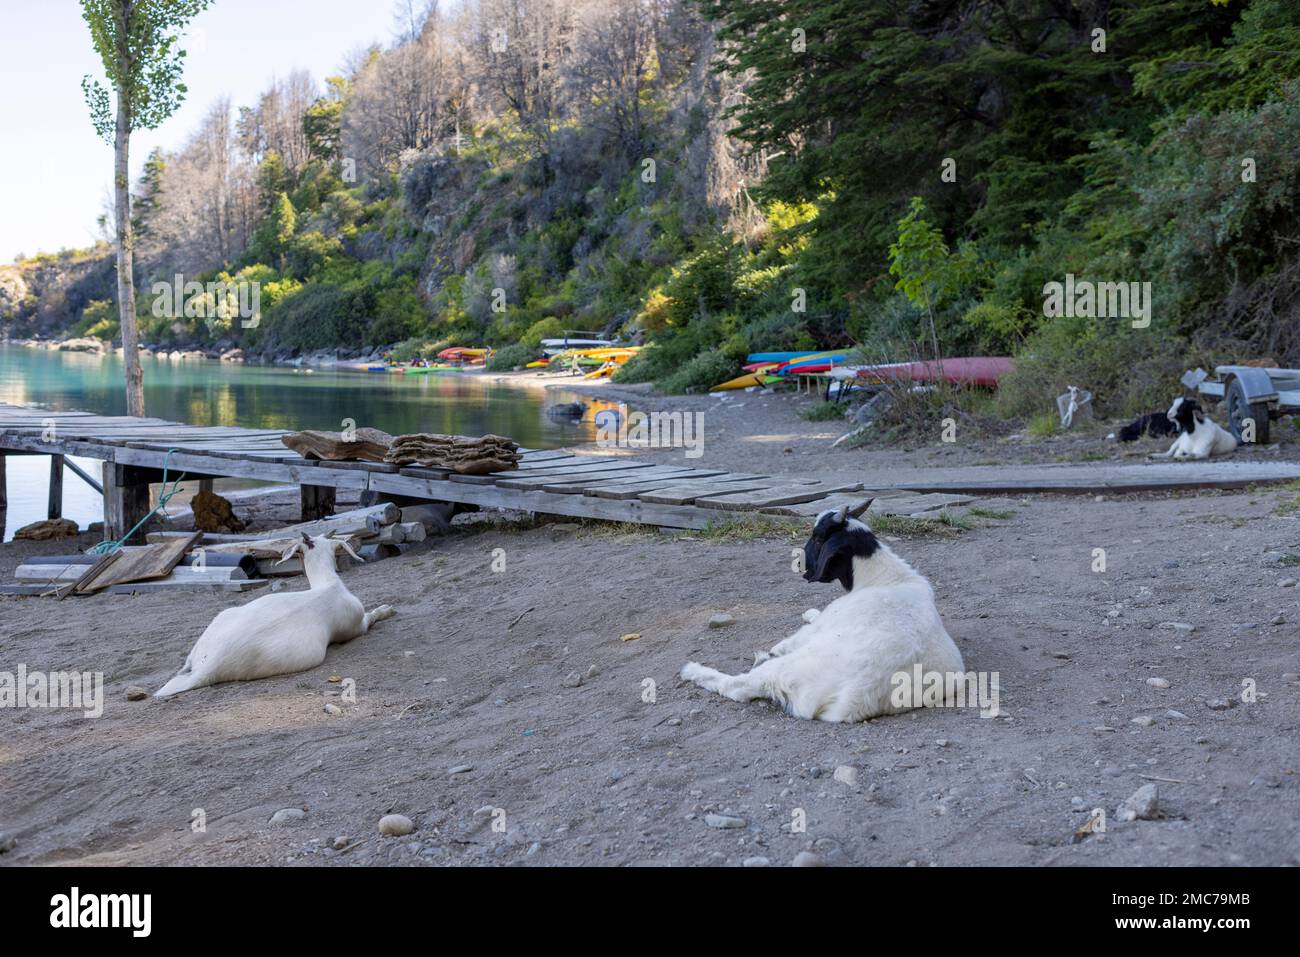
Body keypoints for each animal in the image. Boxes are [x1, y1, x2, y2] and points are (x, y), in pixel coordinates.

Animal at [155, 532, 394, 697]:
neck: (328, 584)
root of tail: (206, 666)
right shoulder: (356, 625)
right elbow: (371, 617)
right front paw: (387, 609)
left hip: (217, 623)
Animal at [679, 502, 965, 722]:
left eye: (817, 538)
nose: (798, 564)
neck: (884, 578)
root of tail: (861, 695)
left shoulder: (823, 625)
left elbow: (795, 636)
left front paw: (777, 645)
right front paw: (809, 611)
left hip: (789, 670)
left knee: (739, 687)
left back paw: (694, 670)